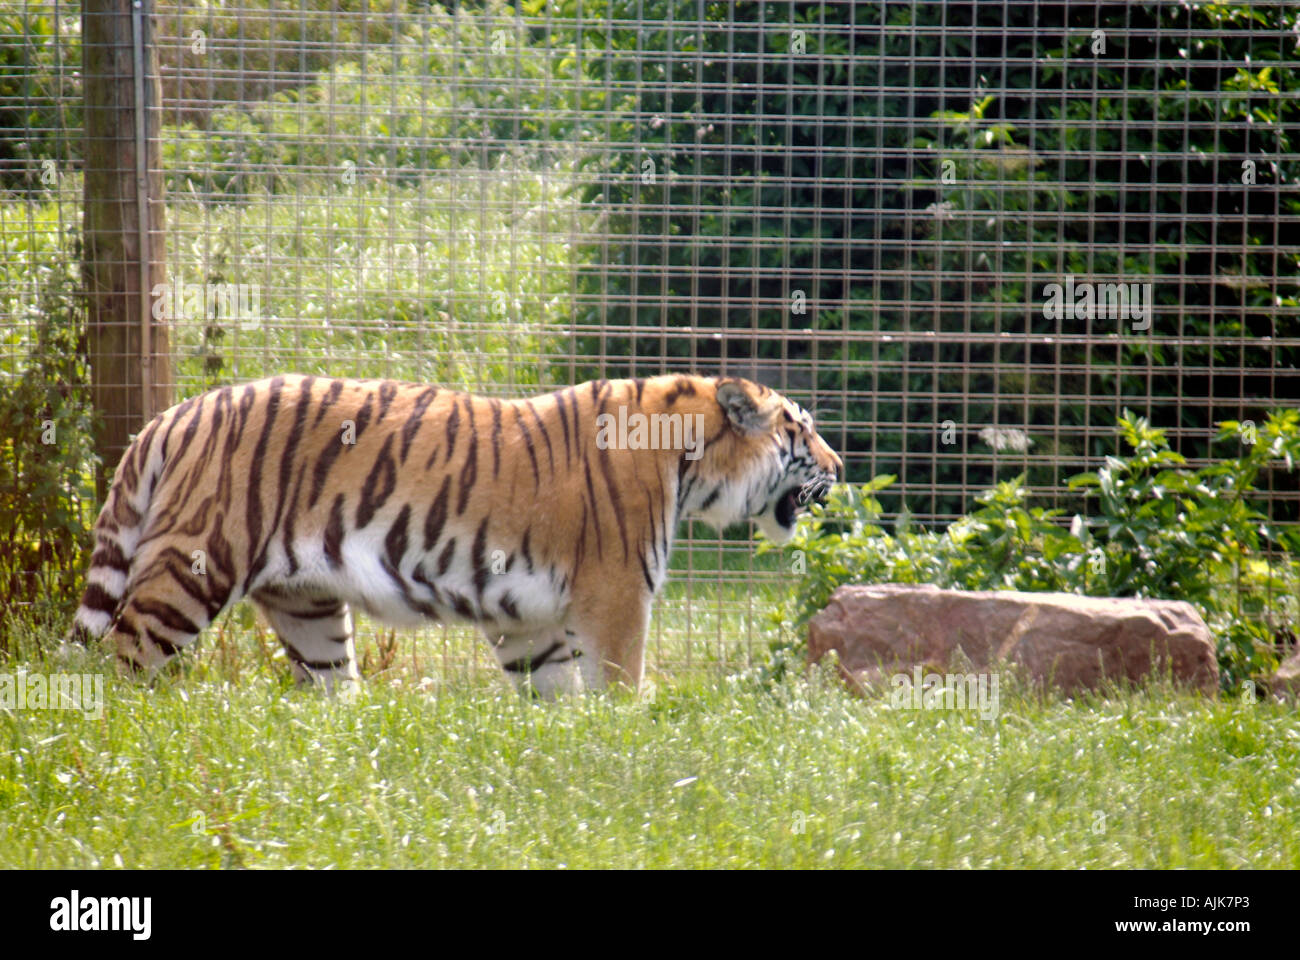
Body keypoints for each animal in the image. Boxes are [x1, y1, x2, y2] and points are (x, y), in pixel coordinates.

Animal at [66, 374, 843, 696]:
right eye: (801, 431)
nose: (840, 467)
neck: (690, 463)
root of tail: (171, 416)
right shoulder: (617, 598)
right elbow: (622, 687)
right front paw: (626, 748)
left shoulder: (529, 620)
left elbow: (557, 696)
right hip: (189, 572)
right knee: (120, 662)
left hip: (308, 605)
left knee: (329, 690)